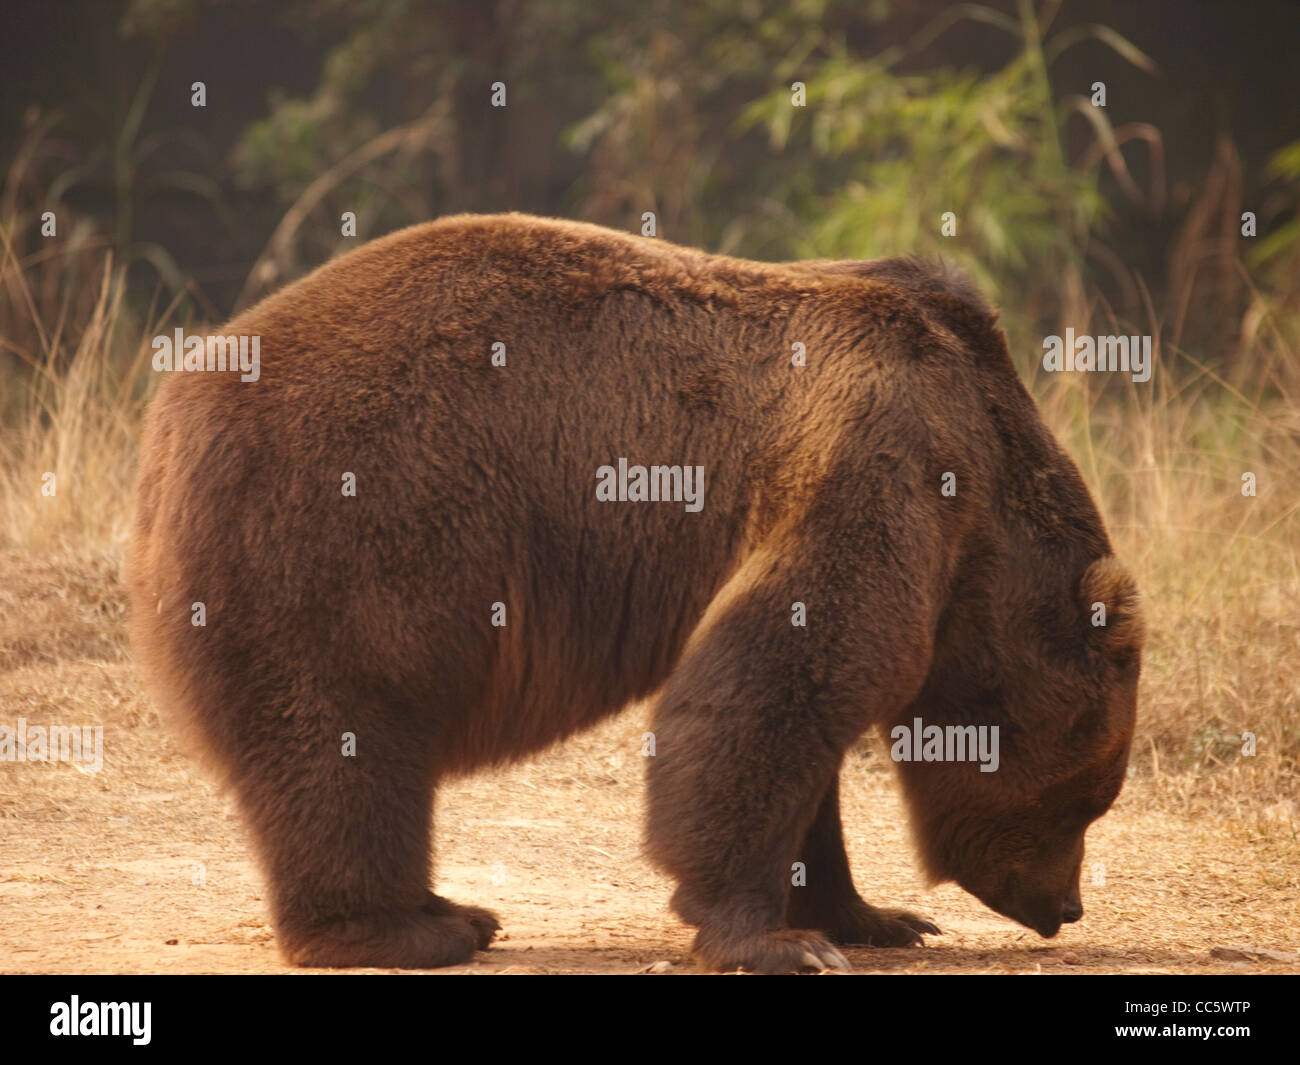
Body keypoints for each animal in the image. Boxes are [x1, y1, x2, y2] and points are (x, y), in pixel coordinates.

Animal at [127, 213, 1144, 973]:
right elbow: (783, 678)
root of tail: (171, 411)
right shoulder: (887, 464)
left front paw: (873, 915)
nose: (1067, 903)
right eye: (1087, 799)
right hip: (348, 527)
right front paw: (776, 939)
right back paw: (409, 928)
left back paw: (455, 907)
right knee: (343, 734)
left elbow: (803, 731)